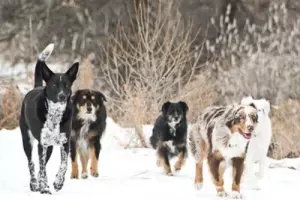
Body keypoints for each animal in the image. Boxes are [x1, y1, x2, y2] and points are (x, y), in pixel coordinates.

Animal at [19, 43, 79, 194]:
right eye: (54, 85)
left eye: (66, 85)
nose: (62, 96)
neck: (55, 113)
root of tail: (37, 86)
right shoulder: (42, 144)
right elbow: (41, 167)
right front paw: (44, 187)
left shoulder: (65, 142)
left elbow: (64, 164)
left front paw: (58, 182)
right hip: (28, 140)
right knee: (32, 163)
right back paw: (34, 184)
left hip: (50, 147)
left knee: (42, 164)